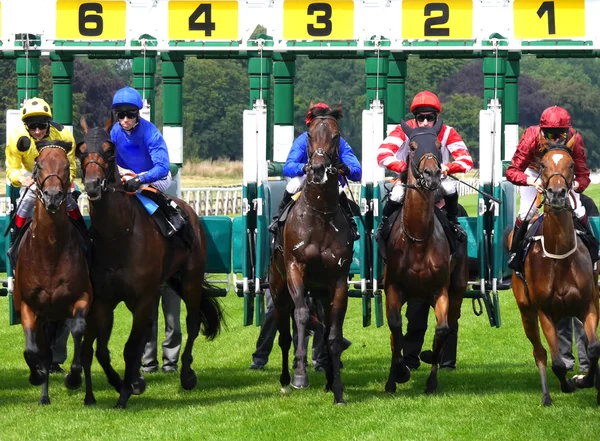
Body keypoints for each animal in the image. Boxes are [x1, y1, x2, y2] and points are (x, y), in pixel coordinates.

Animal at [13, 139, 92, 404]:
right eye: (38, 165)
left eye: (66, 165)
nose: (53, 196)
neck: (49, 251)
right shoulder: (28, 306)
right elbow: (32, 349)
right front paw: (36, 376)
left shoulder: (82, 298)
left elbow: (78, 331)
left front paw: (73, 378)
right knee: (44, 350)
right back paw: (44, 395)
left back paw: (89, 395)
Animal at [77, 115, 223, 408]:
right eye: (81, 149)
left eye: (109, 150)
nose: (93, 185)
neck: (117, 235)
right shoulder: (104, 301)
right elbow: (100, 350)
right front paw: (119, 386)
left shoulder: (142, 298)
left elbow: (130, 348)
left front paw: (123, 395)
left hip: (190, 280)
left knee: (191, 323)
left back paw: (187, 375)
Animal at [270, 102, 354, 402]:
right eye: (309, 134)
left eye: (335, 135)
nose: (317, 169)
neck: (319, 215)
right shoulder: (295, 268)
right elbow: (302, 317)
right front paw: (300, 376)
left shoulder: (337, 280)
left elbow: (333, 334)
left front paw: (337, 388)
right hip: (278, 288)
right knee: (285, 334)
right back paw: (285, 379)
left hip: (319, 290)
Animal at [384, 121, 468, 396]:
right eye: (412, 146)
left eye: (438, 145)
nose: (432, 175)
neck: (418, 238)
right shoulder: (393, 288)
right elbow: (396, 328)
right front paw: (398, 374)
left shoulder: (439, 290)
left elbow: (441, 330)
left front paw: (431, 376)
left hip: (457, 288)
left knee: (451, 323)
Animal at [510, 139, 600, 404]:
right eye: (542, 165)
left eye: (571, 165)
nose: (558, 193)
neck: (560, 257)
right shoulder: (545, 312)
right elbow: (557, 362)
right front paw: (567, 385)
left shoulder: (588, 305)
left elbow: (593, 348)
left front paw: (586, 381)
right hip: (526, 312)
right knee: (539, 352)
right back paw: (546, 395)